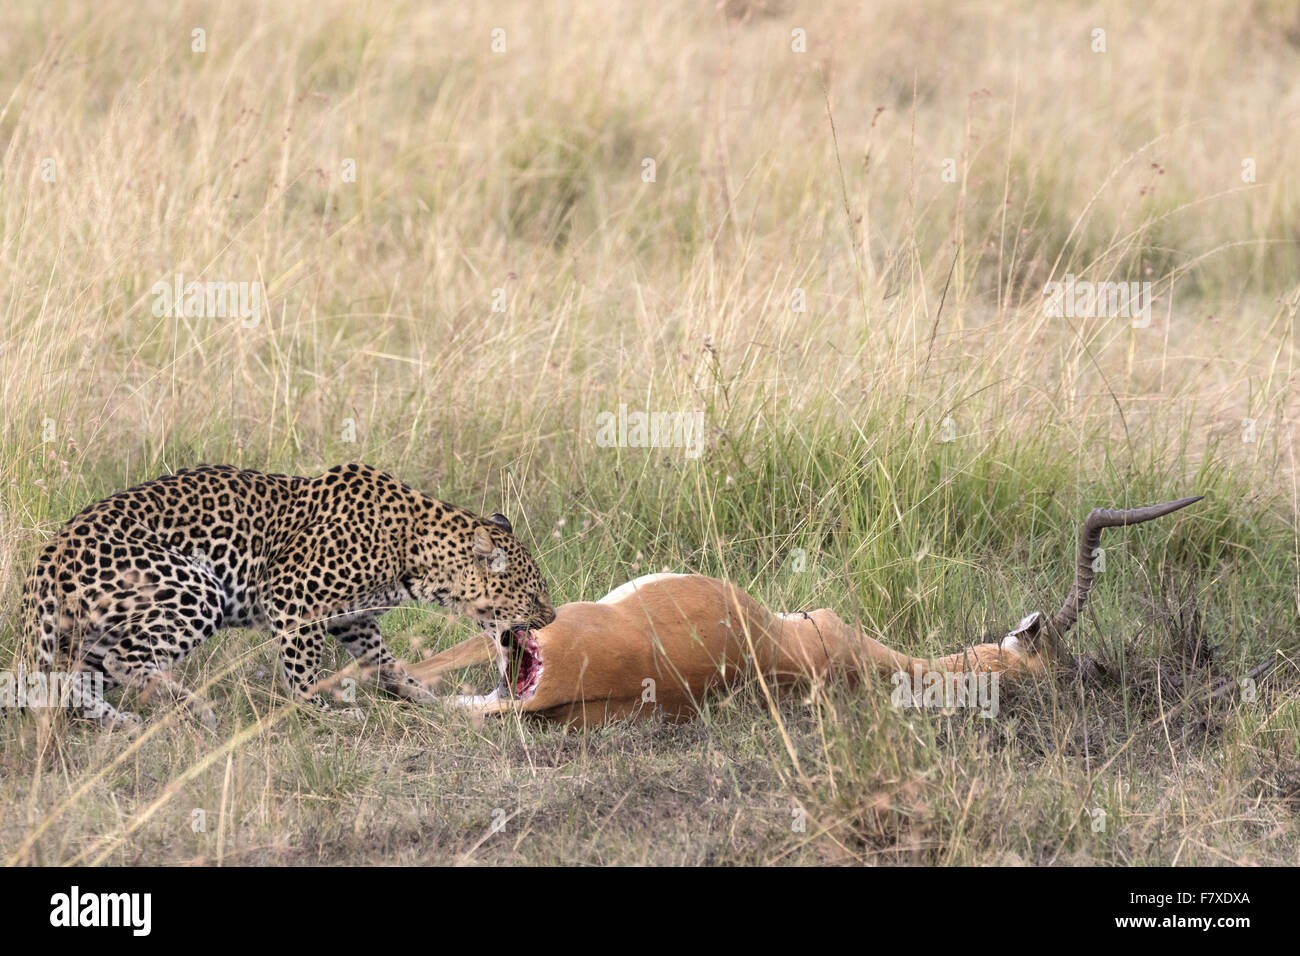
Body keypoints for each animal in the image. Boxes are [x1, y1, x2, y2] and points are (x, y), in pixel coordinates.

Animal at [18, 462, 556, 728]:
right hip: (194, 588)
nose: (551, 618)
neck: (416, 551)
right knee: (126, 661)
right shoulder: (293, 595)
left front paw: (426, 698)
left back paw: (122, 722)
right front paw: (322, 714)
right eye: (533, 596)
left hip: (95, 629)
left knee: (71, 679)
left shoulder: (351, 617)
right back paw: (194, 709)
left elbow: (385, 662)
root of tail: (51, 550)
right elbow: (303, 671)